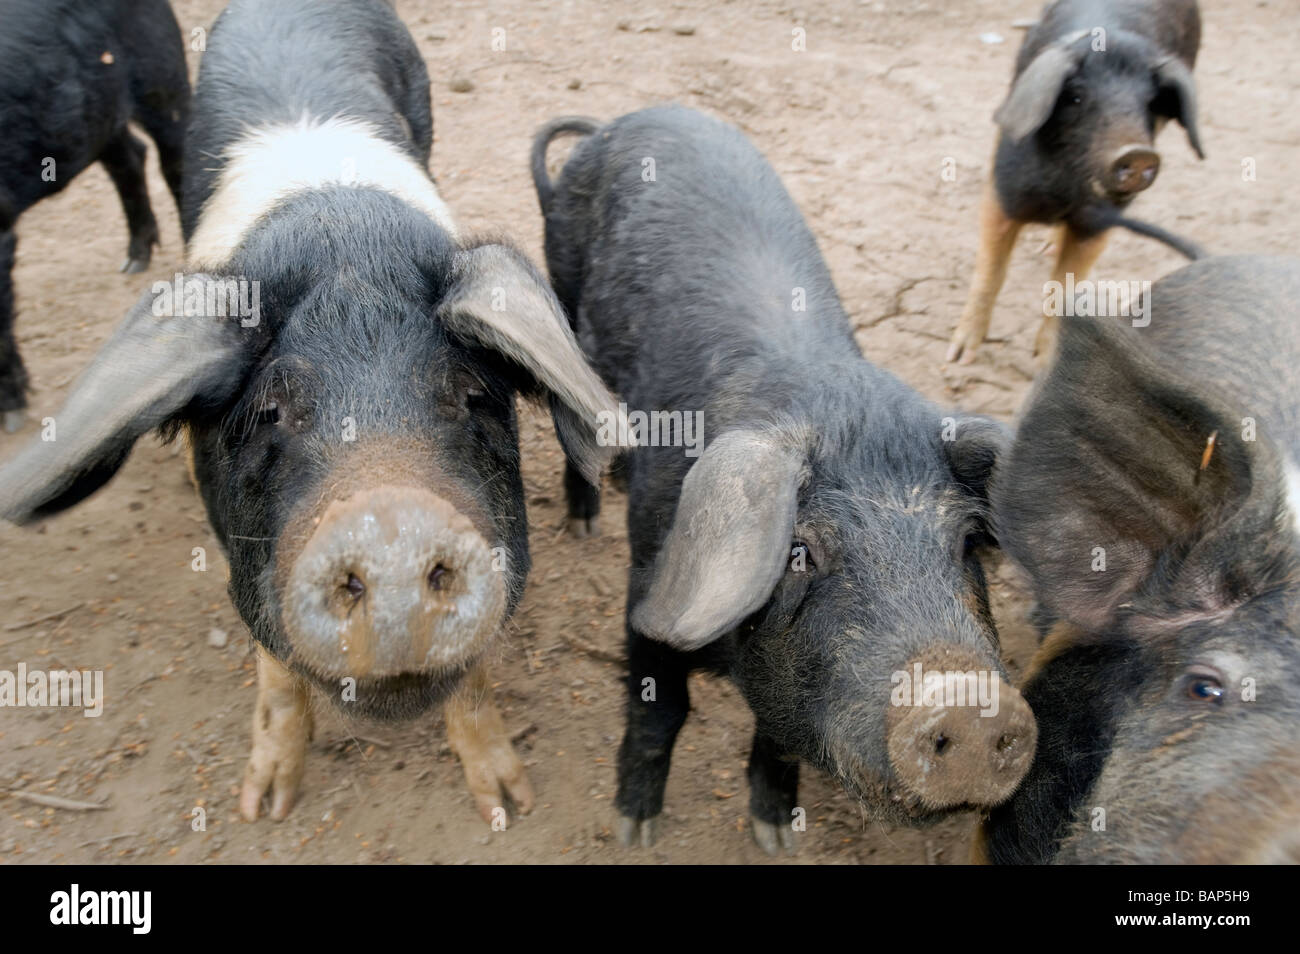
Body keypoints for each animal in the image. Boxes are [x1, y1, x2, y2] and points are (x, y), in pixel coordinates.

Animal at [0, 0, 190, 433]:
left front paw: (13, 417)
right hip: (98, 108)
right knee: (129, 155)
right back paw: (134, 261)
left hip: (162, 75)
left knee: (175, 158)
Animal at [531, 106, 1037, 853]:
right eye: (799, 551)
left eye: (968, 543)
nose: (971, 707)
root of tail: (614, 124)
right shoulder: (653, 582)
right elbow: (660, 710)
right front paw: (633, 831)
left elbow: (777, 737)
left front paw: (776, 837)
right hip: (562, 285)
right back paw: (584, 520)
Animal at [946, 0, 1204, 368]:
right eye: (1078, 98)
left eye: (1151, 104)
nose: (1137, 153)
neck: (1065, 189)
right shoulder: (1002, 191)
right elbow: (991, 271)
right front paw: (958, 358)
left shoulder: (1101, 223)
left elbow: (1065, 285)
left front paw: (1045, 363)